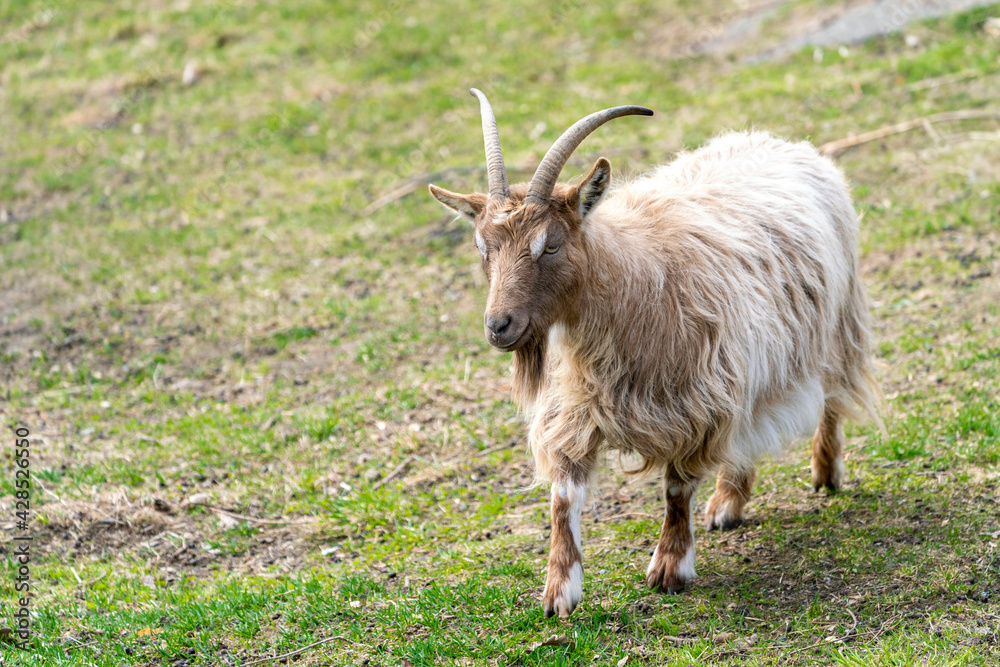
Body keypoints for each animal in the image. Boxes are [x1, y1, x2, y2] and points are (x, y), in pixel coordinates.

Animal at [429, 89, 881, 618]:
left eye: (551, 245)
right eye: (483, 247)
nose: (499, 326)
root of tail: (784, 143)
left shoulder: (695, 402)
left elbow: (676, 488)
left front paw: (669, 567)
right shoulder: (575, 406)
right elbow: (563, 496)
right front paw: (560, 591)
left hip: (834, 323)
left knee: (829, 397)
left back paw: (824, 472)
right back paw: (729, 501)